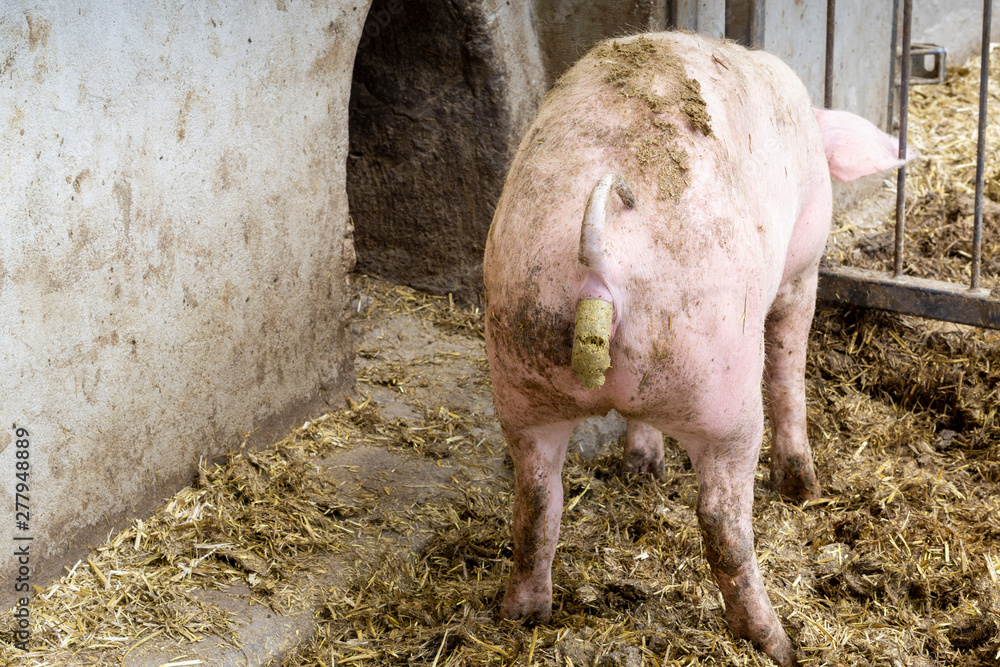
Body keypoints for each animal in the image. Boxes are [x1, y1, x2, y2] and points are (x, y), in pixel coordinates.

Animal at [483, 31, 910, 666]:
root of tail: (600, 260)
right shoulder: (802, 268)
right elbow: (789, 368)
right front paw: (806, 491)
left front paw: (643, 469)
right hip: (721, 391)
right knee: (721, 518)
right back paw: (779, 642)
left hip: (521, 366)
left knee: (536, 502)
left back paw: (525, 613)